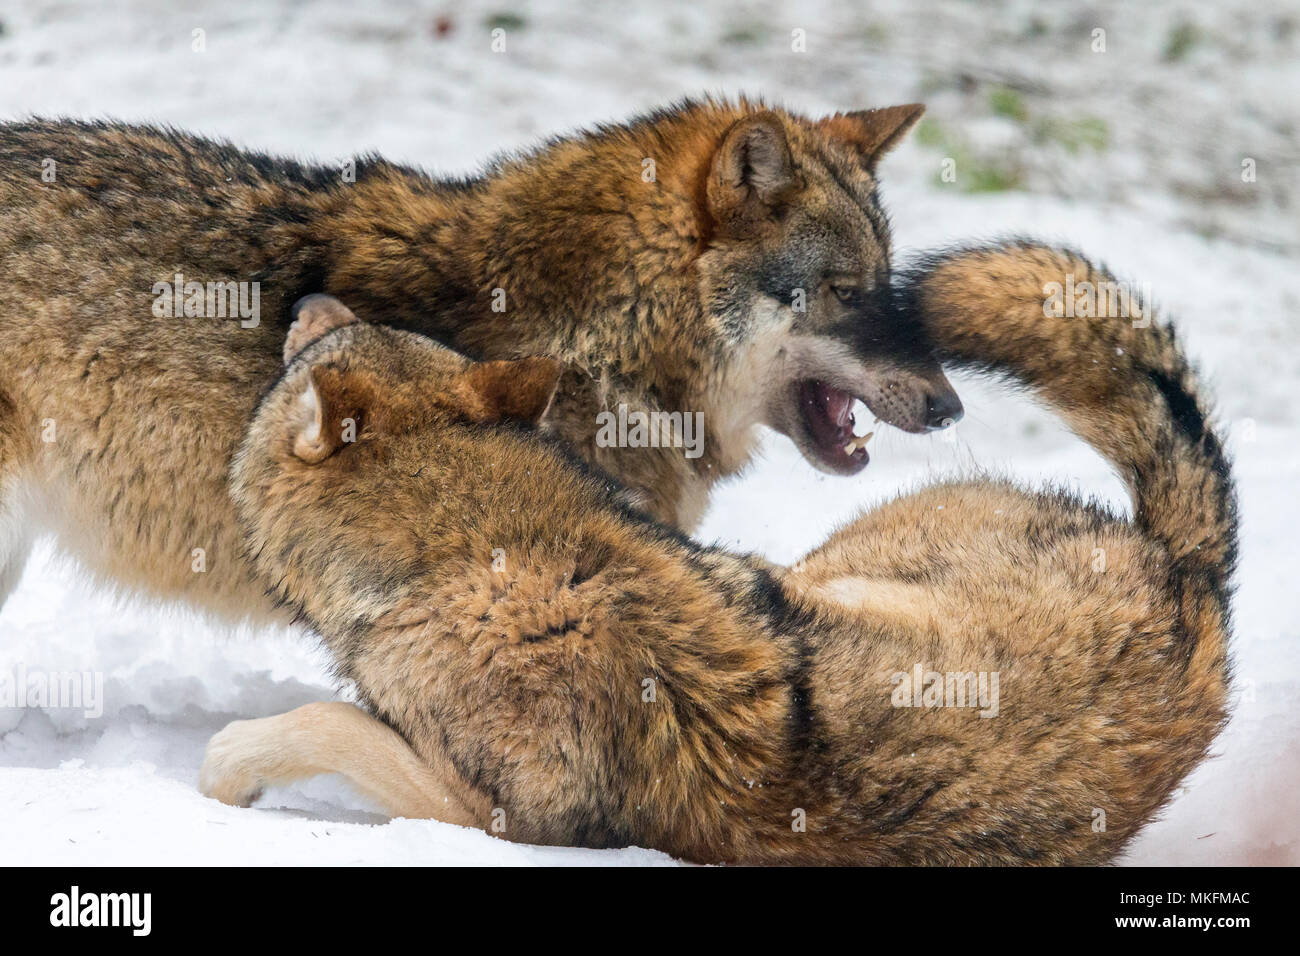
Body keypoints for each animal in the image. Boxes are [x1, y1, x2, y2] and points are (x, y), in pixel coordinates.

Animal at [199, 241, 1235, 865]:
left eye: (324, 343)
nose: (308, 296)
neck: (473, 560)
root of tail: (1192, 575)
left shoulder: (497, 819)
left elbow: (327, 724)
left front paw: (226, 770)